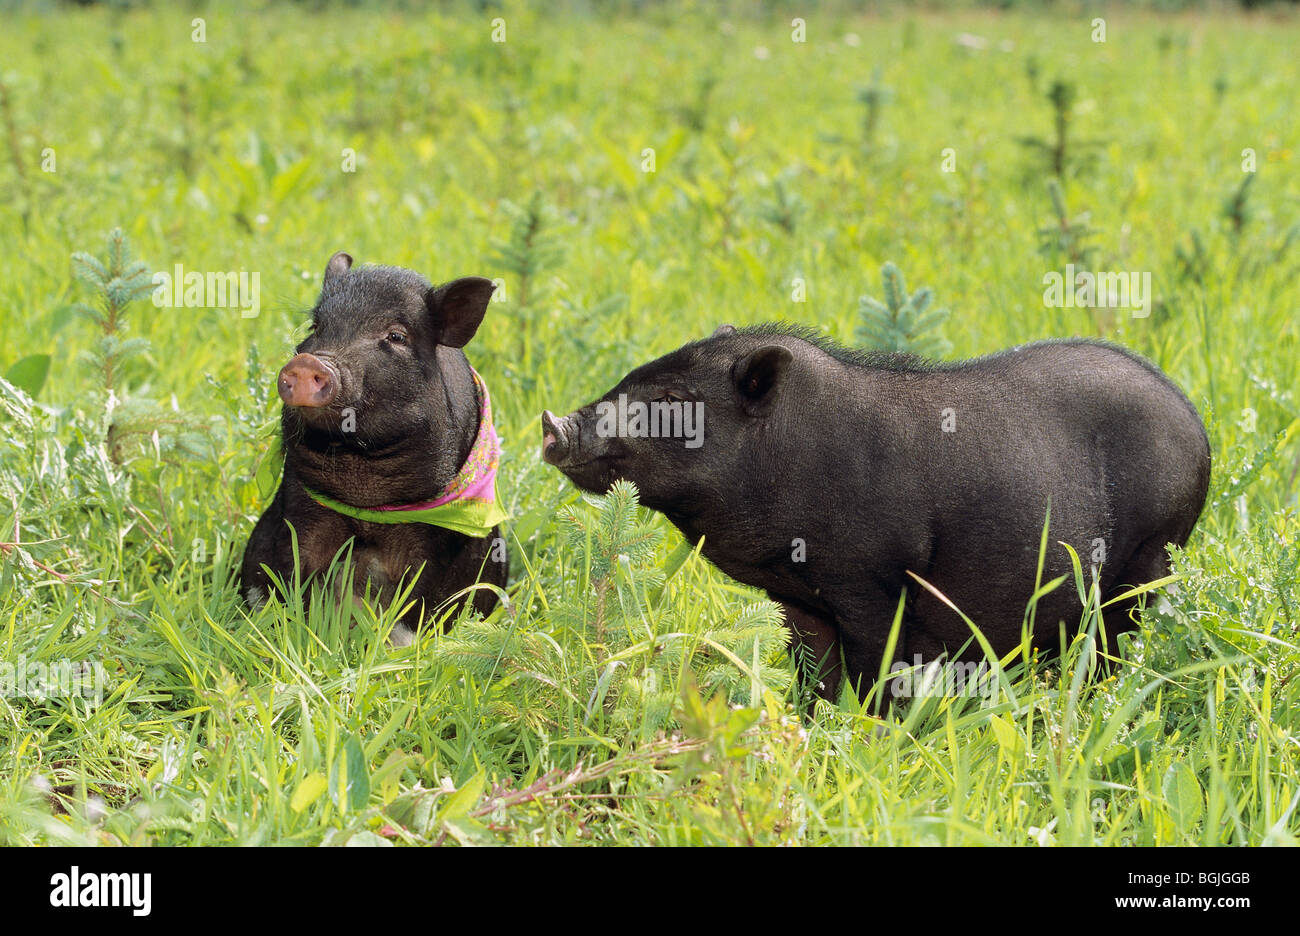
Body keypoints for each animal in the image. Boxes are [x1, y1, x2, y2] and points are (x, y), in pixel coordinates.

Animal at [241, 251, 508, 643]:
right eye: (316, 327)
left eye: (396, 335)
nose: (307, 363)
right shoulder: (301, 508)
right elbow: (292, 577)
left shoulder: (436, 539)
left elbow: (416, 606)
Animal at [542, 325, 1210, 703]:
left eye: (675, 400)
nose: (553, 424)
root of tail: (1197, 423)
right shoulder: (800, 597)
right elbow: (814, 669)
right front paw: (813, 722)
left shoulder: (873, 580)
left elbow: (873, 671)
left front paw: (868, 732)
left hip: (1150, 555)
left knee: (1114, 645)